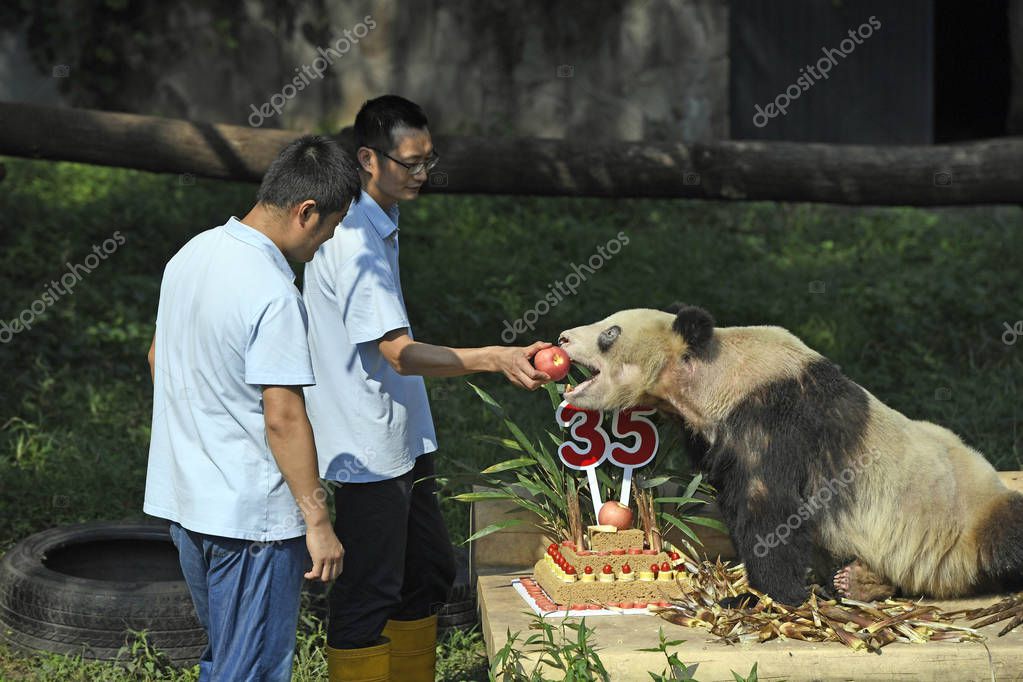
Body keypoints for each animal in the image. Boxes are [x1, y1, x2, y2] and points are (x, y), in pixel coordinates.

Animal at [557, 304, 1023, 605]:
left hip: (967, 518)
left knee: (1006, 534)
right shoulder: (716, 438)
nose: (561, 337)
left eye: (610, 332)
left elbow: (771, 506)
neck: (712, 374)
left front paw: (777, 594)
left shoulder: (775, 416)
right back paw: (859, 581)